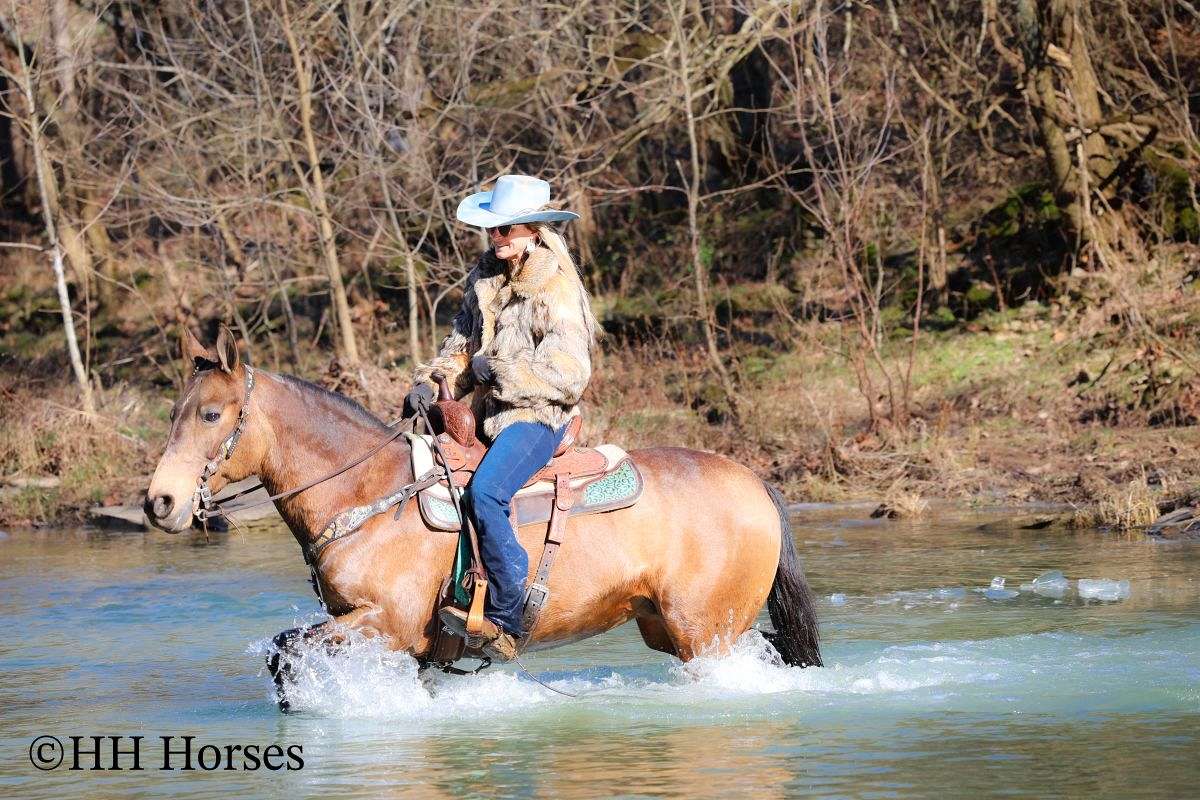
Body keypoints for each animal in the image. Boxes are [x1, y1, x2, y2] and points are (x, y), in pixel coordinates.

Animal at [145, 327, 821, 704]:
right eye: (173, 411)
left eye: (211, 415)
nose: (160, 502)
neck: (368, 494)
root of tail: (754, 482)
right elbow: (285, 656)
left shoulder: (383, 622)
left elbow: (287, 653)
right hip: (673, 627)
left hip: (706, 634)